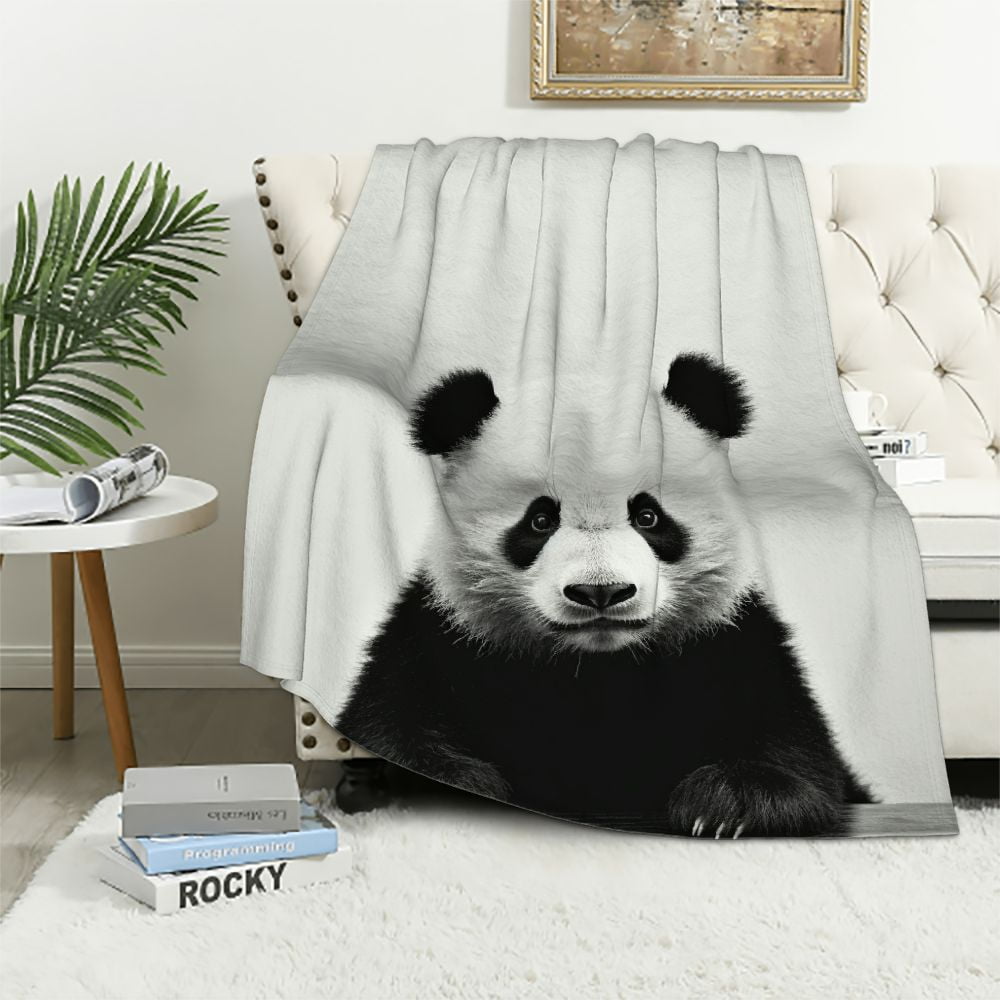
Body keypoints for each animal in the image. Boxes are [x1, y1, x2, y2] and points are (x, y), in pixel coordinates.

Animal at [337, 353, 874, 837]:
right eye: (540, 519)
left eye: (648, 516)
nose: (602, 592)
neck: (596, 667)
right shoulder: (442, 637)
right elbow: (390, 722)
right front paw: (459, 786)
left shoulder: (729, 641)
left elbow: (795, 751)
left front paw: (728, 802)